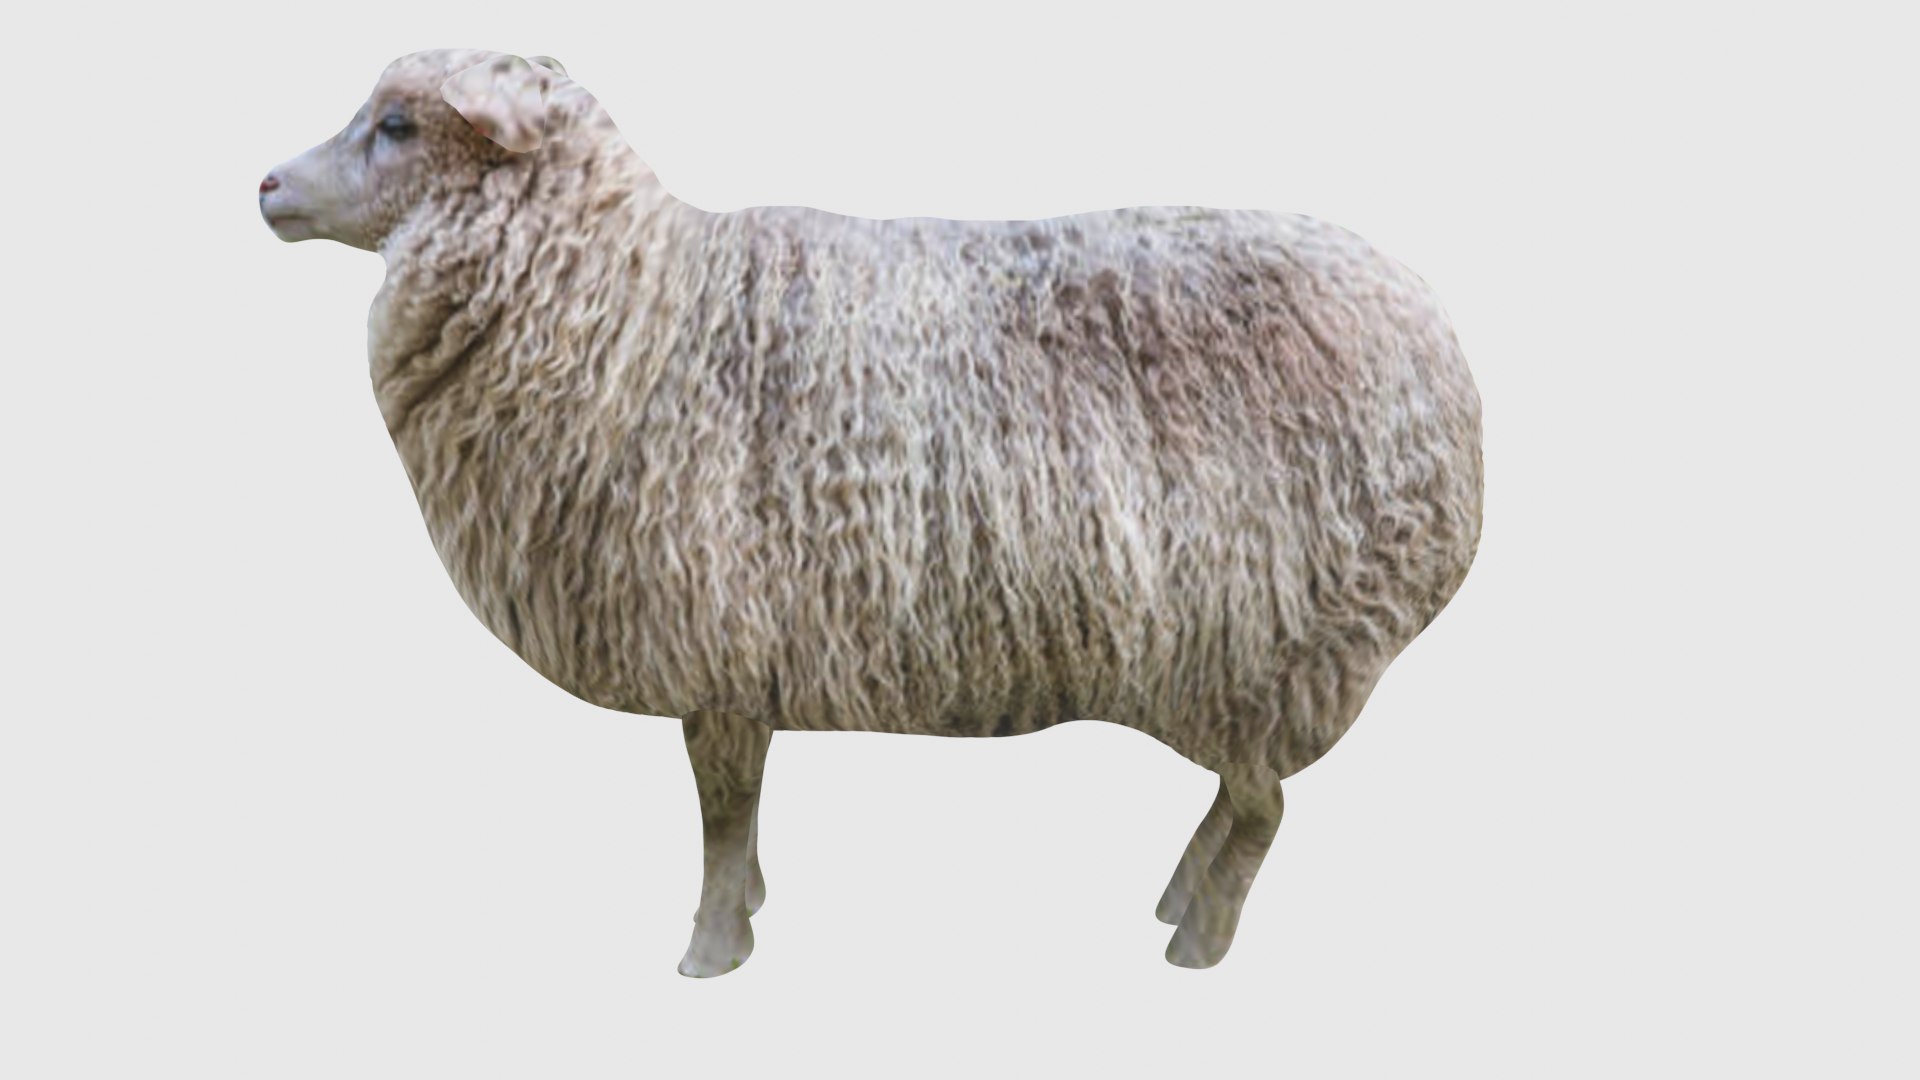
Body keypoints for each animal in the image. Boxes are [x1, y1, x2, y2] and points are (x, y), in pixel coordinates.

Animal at [259, 48, 1484, 977]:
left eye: (400, 125)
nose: (265, 186)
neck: (636, 310)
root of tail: (1436, 339)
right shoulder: (741, 664)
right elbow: (739, 811)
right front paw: (748, 910)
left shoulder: (716, 646)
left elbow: (720, 813)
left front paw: (709, 953)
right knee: (1245, 797)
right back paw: (1179, 901)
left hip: (1285, 639)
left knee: (1263, 811)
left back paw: (1197, 942)